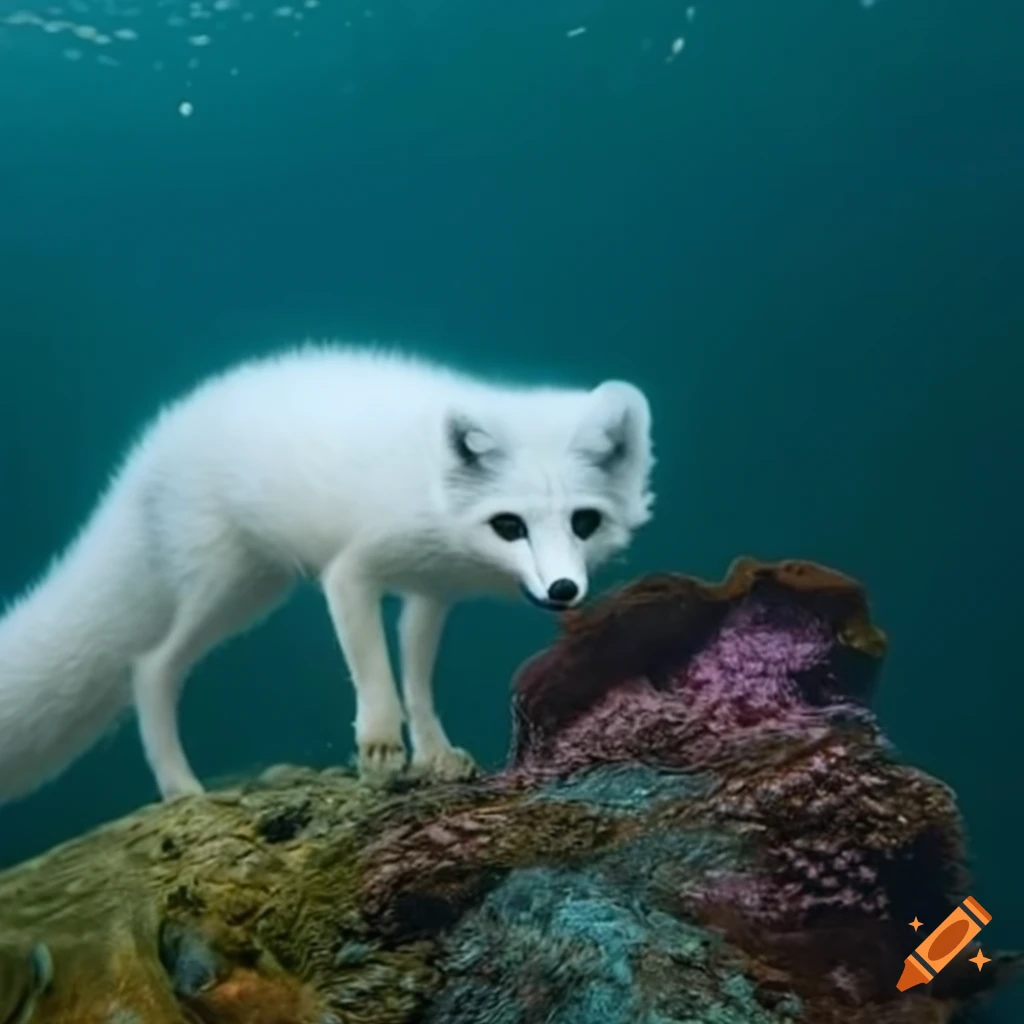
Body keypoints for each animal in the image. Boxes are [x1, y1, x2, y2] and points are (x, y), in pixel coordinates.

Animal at [0, 344, 655, 803]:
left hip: (255, 590)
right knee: (150, 667)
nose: (563, 591)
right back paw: (179, 787)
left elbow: (418, 683)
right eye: (510, 526)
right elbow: (375, 672)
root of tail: (155, 445)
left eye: (585, 522)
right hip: (224, 585)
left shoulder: (430, 595)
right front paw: (380, 746)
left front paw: (436, 755)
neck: (432, 489)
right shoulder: (351, 573)